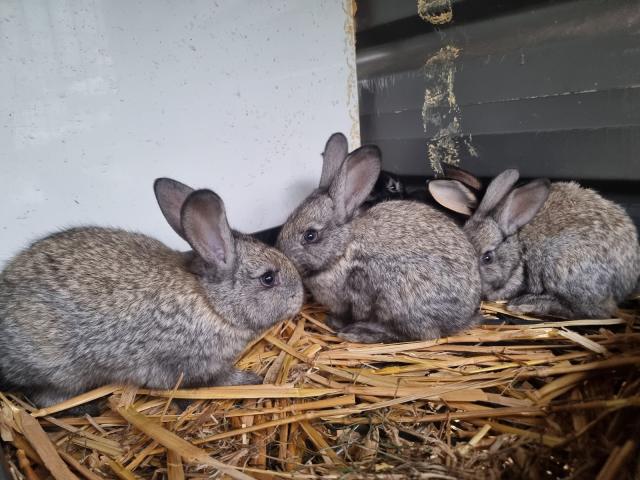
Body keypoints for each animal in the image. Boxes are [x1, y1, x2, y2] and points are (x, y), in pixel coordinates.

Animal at [0, 178, 303, 410]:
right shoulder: (190, 364)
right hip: (60, 370)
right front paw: (252, 379)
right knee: (46, 398)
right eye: (268, 278)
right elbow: (217, 379)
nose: (299, 297)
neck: (213, 303)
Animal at [276, 132, 482, 343]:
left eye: (310, 235)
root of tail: (464, 318)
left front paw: (336, 323)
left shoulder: (358, 292)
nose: (283, 254)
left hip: (399, 302)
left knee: (424, 334)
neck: (343, 248)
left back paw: (360, 332)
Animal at [429, 168, 640, 318]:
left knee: (598, 311)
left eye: (487, 258)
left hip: (560, 265)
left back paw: (527, 304)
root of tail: (629, 275)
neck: (517, 247)